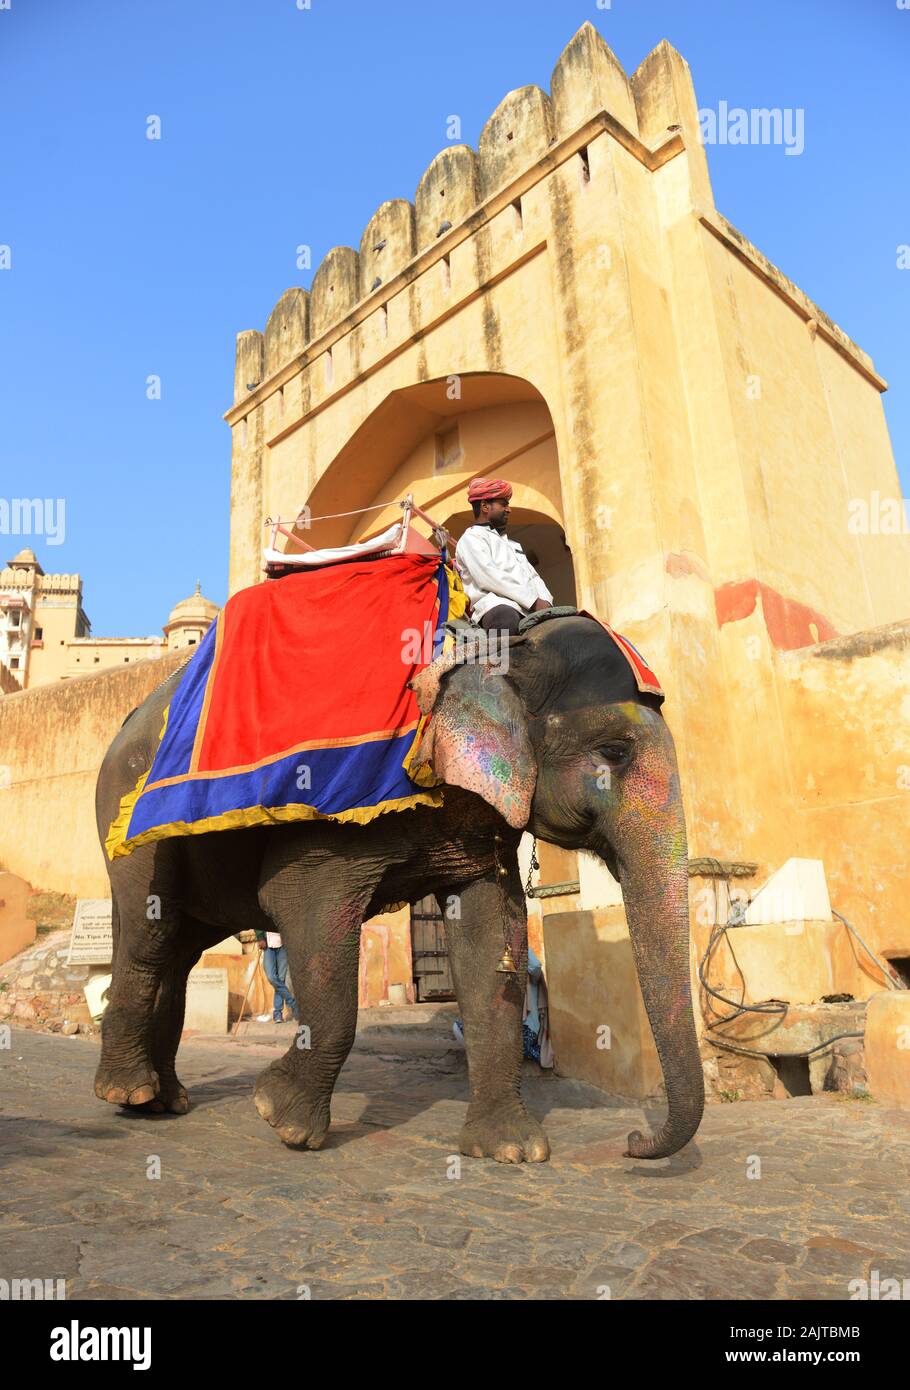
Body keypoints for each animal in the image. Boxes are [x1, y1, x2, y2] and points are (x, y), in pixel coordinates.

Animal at [93, 611, 704, 1163]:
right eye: (616, 752)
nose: (633, 1142)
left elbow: (489, 937)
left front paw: (510, 1150)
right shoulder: (337, 809)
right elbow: (301, 907)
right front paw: (281, 1118)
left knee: (180, 950)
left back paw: (164, 1101)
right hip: (128, 814)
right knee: (150, 934)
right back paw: (131, 1092)